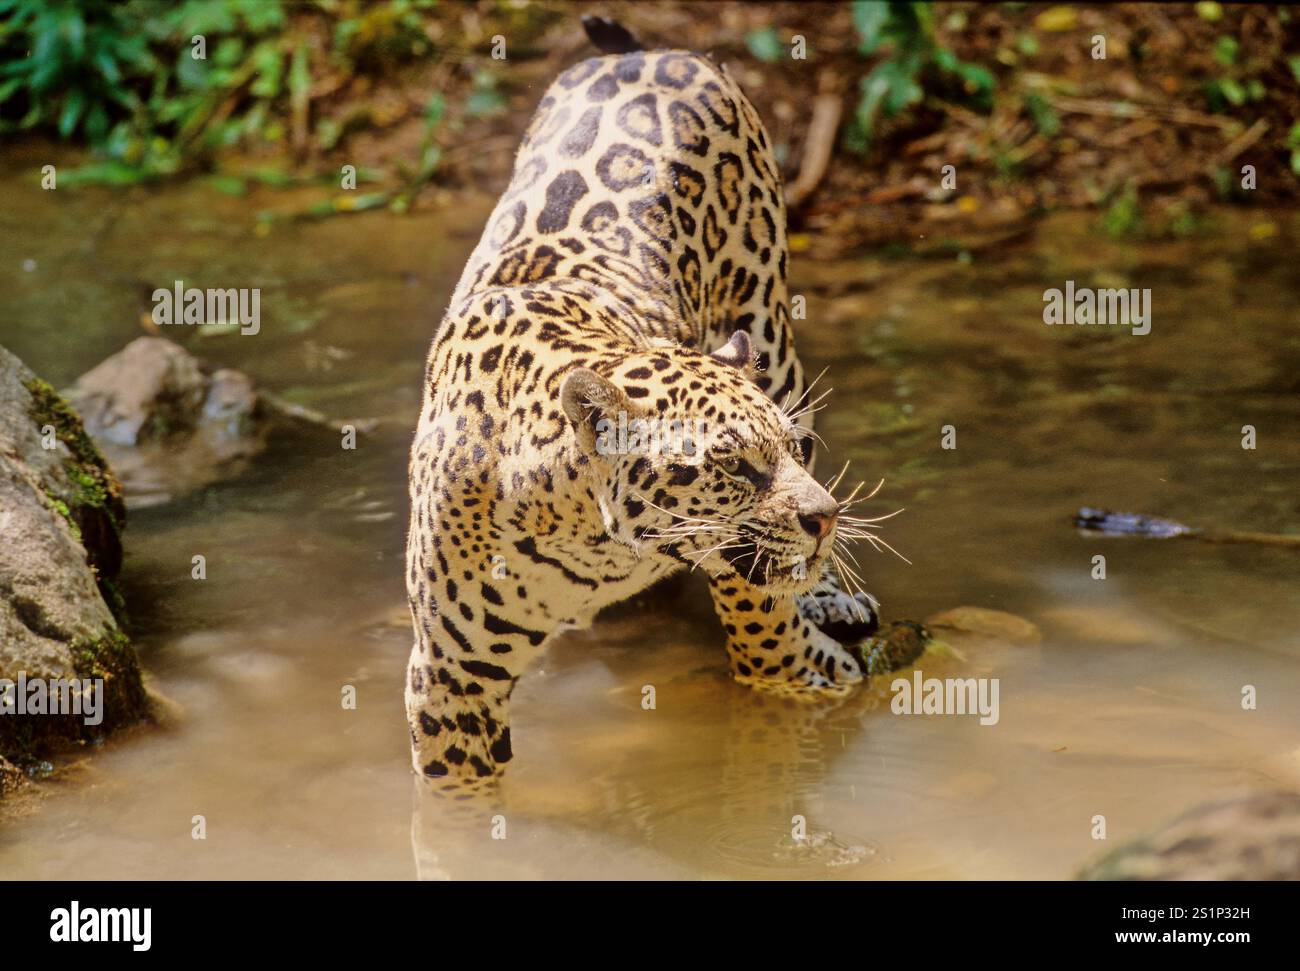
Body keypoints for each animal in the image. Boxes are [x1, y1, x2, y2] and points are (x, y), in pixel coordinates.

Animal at [405, 16, 881, 786]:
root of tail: (647, 52)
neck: (588, 542)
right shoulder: (452, 677)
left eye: (782, 450)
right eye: (733, 465)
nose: (825, 518)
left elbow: (767, 632)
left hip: (770, 328)